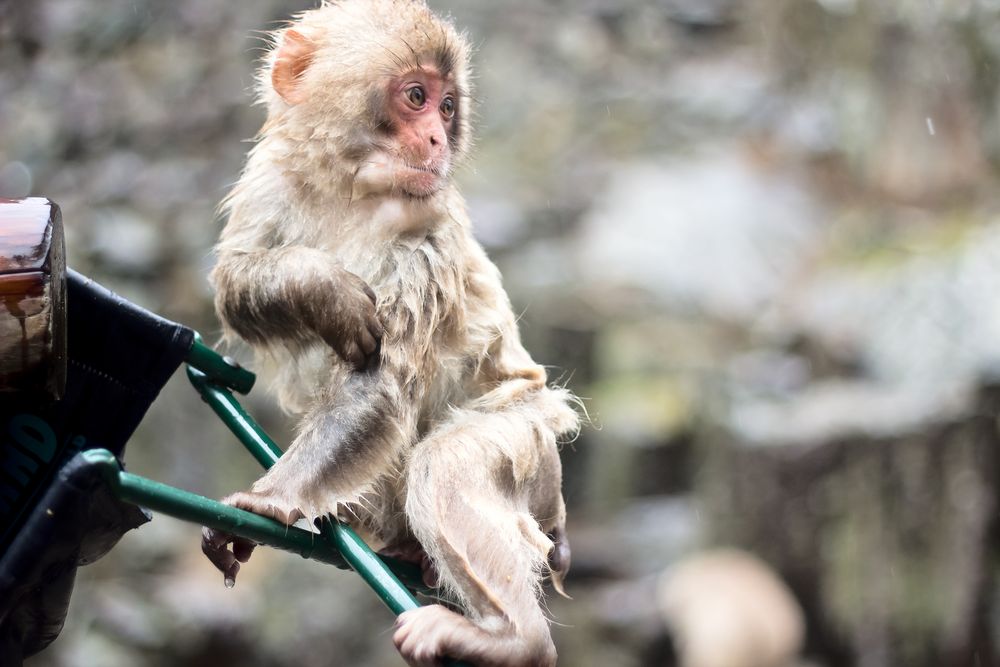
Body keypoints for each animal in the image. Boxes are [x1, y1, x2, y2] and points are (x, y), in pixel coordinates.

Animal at [199, 2, 580, 665]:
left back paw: (513, 639)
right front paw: (322, 288)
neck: (351, 190)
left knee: (449, 463)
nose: (437, 139)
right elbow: (233, 282)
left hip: (532, 441)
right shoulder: (270, 178)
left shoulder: (425, 233)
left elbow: (376, 386)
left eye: (448, 107)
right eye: (416, 96)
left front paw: (271, 498)